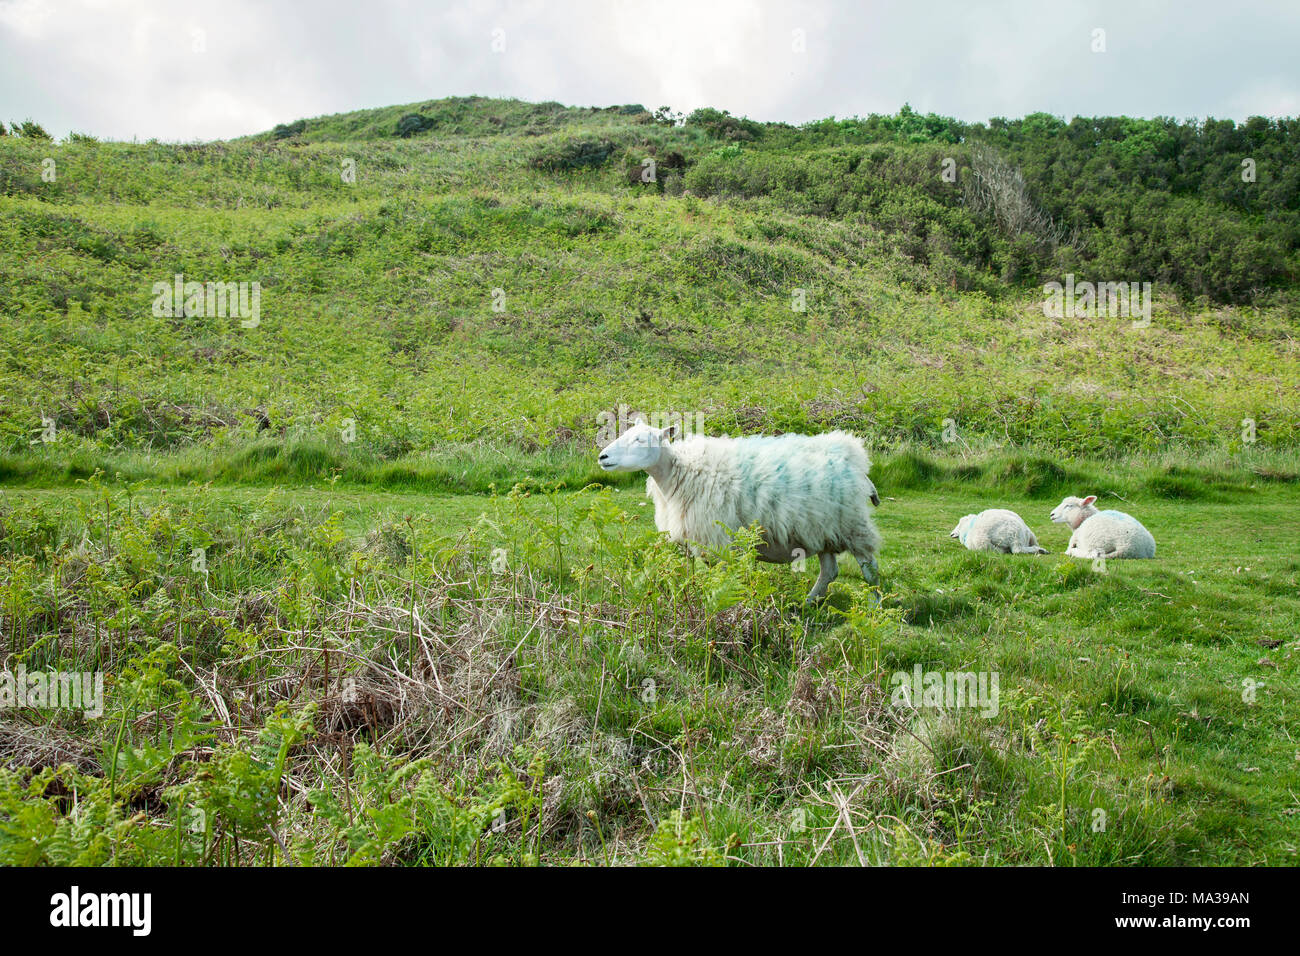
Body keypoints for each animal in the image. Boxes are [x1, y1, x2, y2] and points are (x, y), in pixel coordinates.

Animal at [597, 419, 881, 604]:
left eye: (640, 439)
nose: (602, 457)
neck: (679, 472)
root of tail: (855, 459)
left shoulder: (716, 538)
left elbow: (719, 578)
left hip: (851, 525)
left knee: (869, 568)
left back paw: (874, 604)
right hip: (821, 528)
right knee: (829, 572)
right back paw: (808, 603)